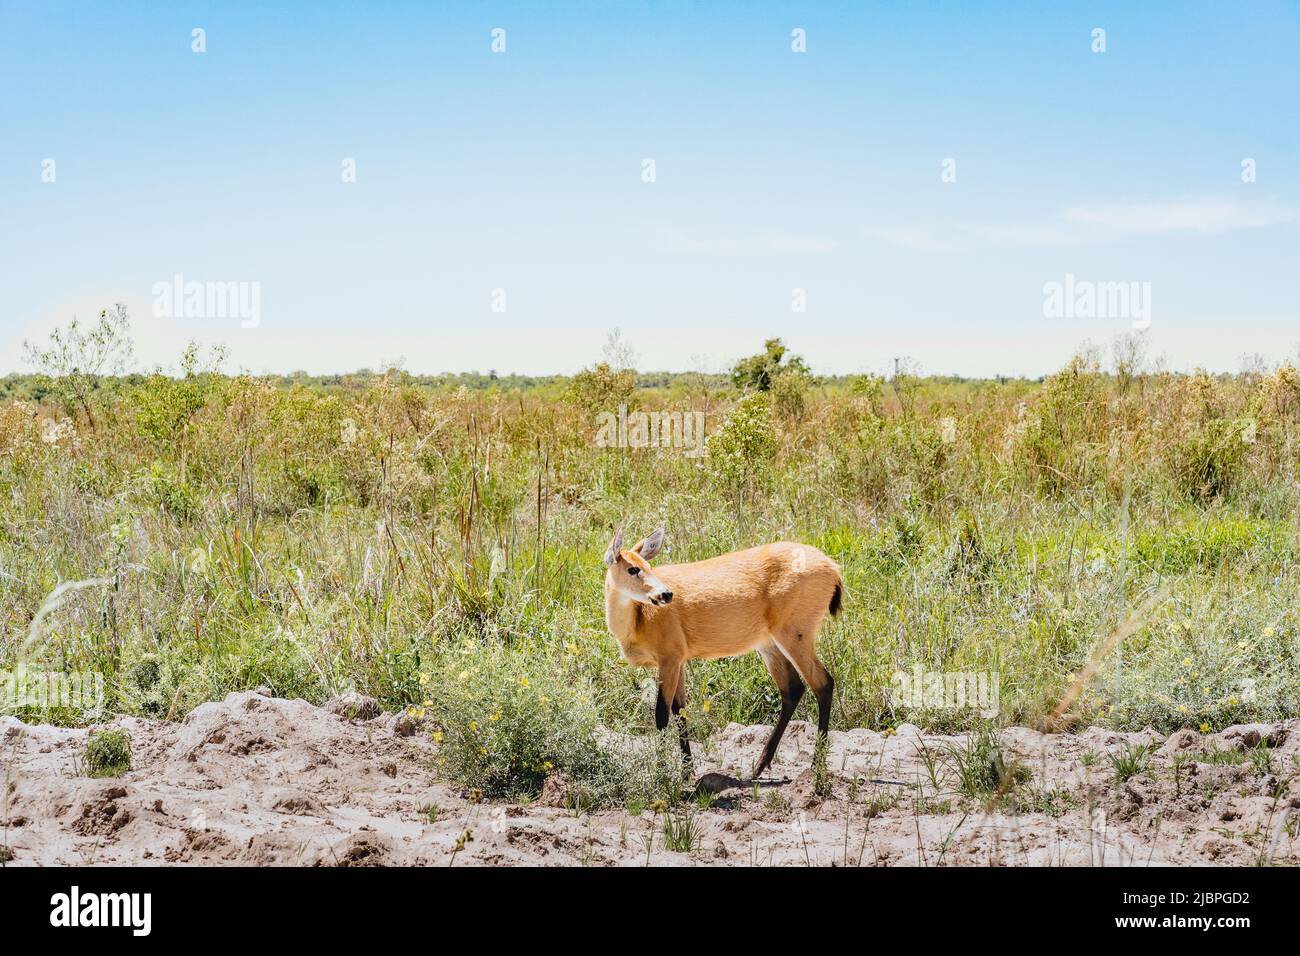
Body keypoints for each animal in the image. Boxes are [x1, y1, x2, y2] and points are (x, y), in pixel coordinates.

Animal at [603, 527, 843, 779]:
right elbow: (680, 711)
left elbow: (661, 714)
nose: (666, 594)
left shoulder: (669, 656)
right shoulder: (678, 658)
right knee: (793, 688)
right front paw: (687, 771)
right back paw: (758, 766)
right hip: (769, 642)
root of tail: (834, 569)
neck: (638, 621)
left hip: (796, 632)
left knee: (823, 683)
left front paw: (663, 775)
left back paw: (815, 766)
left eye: (649, 566)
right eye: (633, 568)